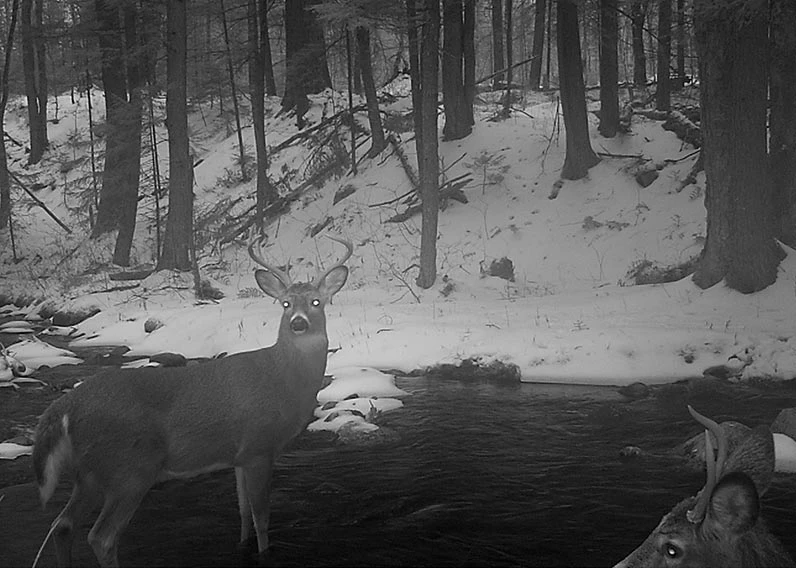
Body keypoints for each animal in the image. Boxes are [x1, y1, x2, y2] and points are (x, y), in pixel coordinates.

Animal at [32, 234, 353, 567]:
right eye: (286, 303)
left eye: (316, 302)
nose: (298, 323)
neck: (284, 380)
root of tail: (66, 405)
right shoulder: (259, 445)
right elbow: (262, 518)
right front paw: (265, 553)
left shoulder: (238, 455)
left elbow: (243, 512)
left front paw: (242, 545)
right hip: (130, 467)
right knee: (101, 537)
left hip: (90, 473)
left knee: (63, 525)